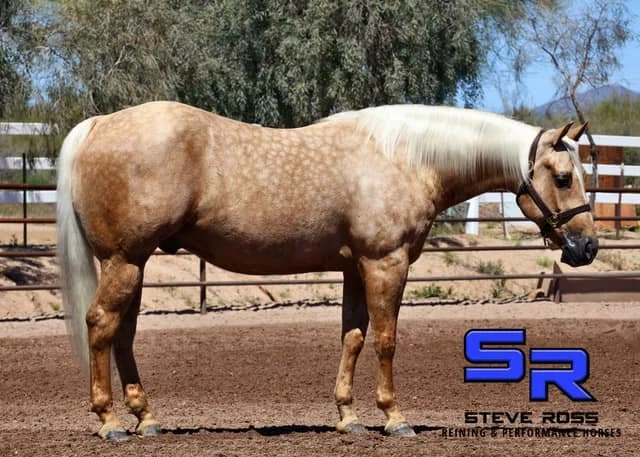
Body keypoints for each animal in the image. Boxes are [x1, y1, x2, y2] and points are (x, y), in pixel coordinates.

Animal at [57, 101, 597, 441]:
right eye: (563, 177)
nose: (587, 247)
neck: (406, 157)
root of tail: (98, 124)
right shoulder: (385, 264)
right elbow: (385, 340)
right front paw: (395, 418)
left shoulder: (356, 270)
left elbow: (352, 338)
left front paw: (348, 417)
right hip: (125, 261)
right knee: (101, 326)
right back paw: (110, 423)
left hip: (133, 263)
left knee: (123, 335)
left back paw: (145, 419)